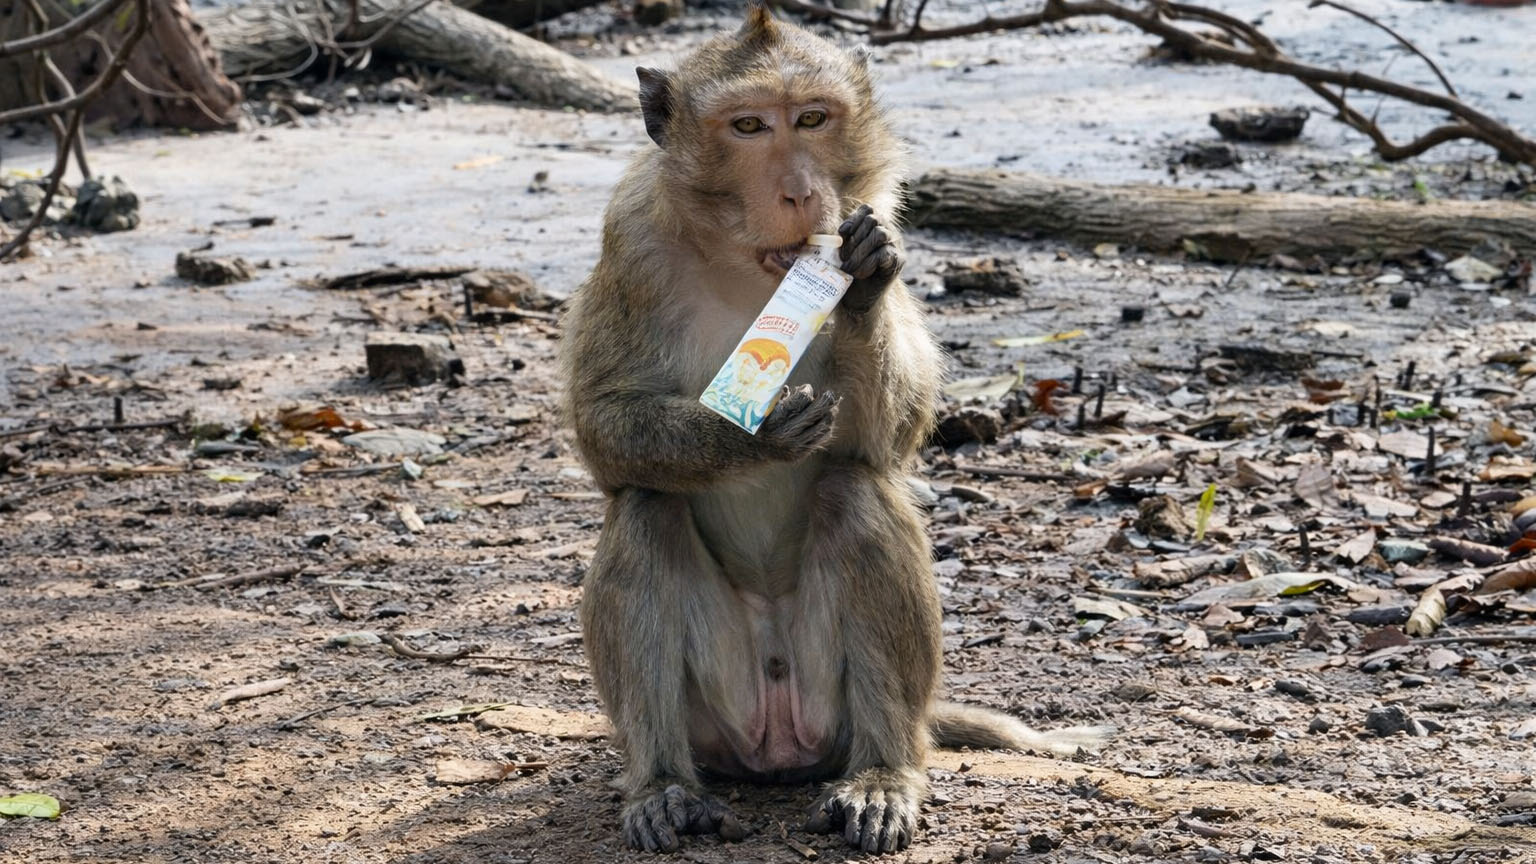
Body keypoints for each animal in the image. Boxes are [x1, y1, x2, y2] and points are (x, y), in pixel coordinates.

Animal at [559, 7, 1112, 855]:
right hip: (716, 712)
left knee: (856, 492)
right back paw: (663, 786)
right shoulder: (631, 241)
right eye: (749, 126)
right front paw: (749, 436)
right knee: (648, 504)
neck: (752, 266)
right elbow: (604, 425)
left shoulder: (882, 209)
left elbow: (893, 435)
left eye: (812, 119)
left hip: (834, 709)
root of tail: (777, 742)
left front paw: (864, 282)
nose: (799, 191)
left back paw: (883, 775)